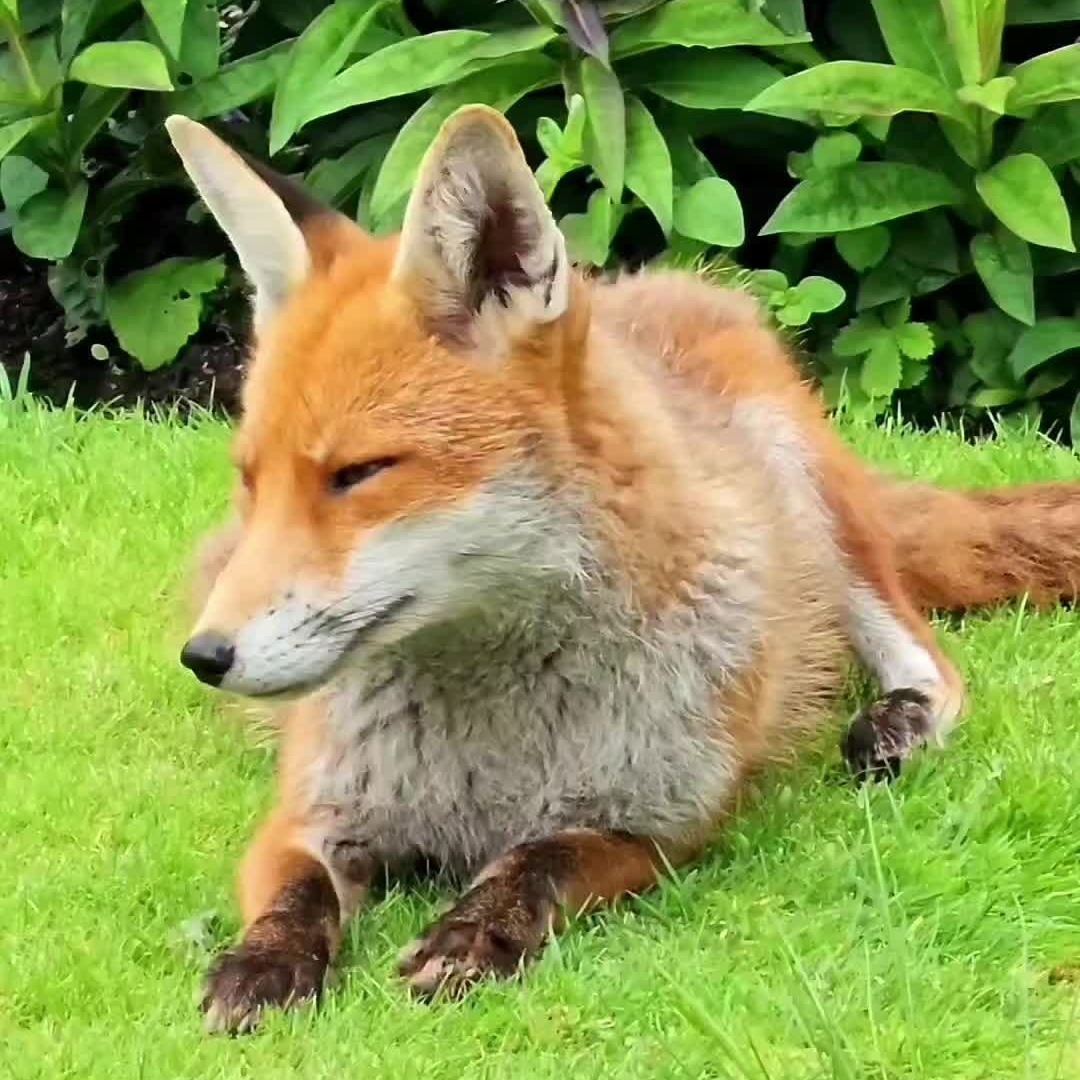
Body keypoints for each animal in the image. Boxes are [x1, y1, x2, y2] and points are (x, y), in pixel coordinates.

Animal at [166, 106, 1080, 1034]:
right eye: (252, 479)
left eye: (359, 474)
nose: (205, 657)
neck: (490, 748)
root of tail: (642, 287)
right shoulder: (307, 814)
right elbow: (296, 895)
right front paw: (261, 964)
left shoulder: (659, 825)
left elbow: (539, 861)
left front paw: (474, 932)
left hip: (811, 494)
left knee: (929, 659)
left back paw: (900, 723)